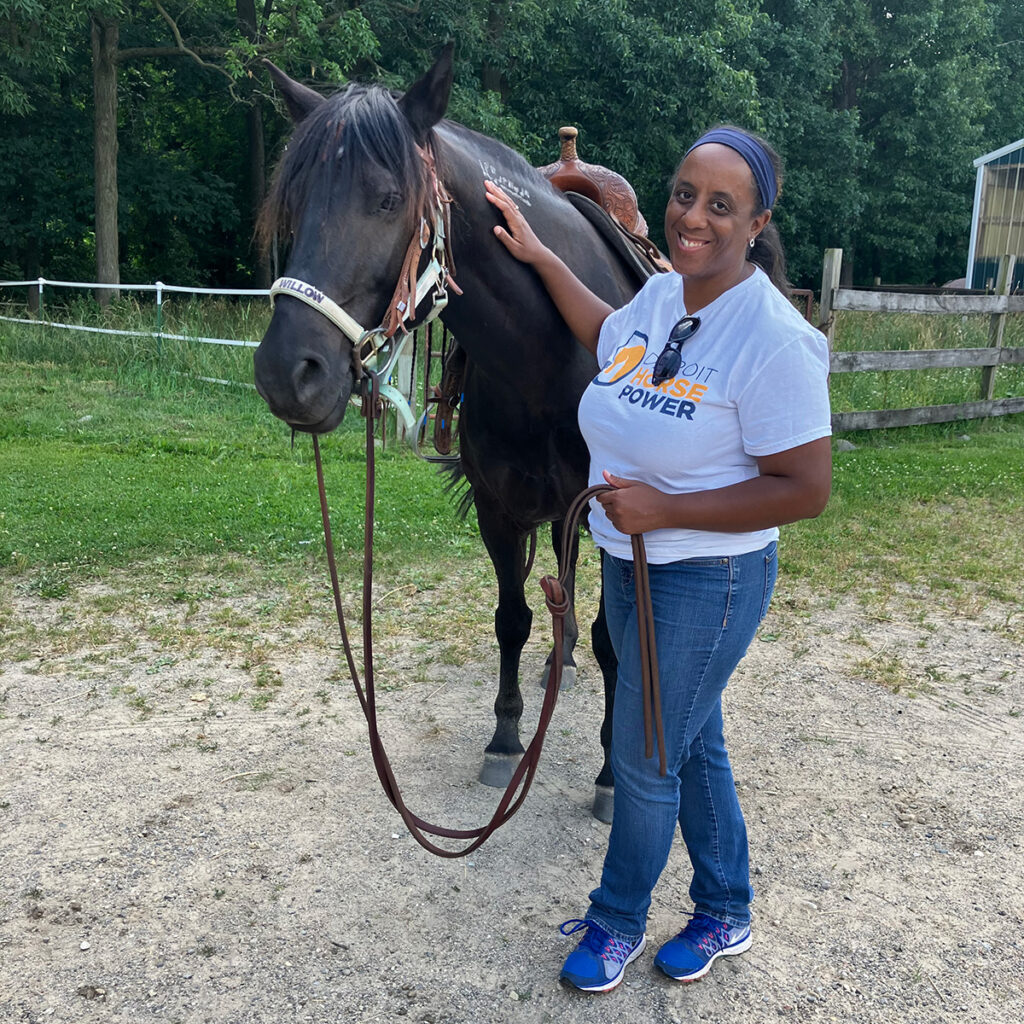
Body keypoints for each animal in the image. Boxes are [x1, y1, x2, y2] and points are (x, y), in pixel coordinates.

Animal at [253, 45, 645, 822]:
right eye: (296, 199)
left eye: (387, 199)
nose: (288, 372)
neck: (548, 354)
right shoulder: (499, 508)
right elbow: (512, 618)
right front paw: (505, 740)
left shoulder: (608, 513)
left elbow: (614, 639)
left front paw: (612, 775)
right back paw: (559, 663)